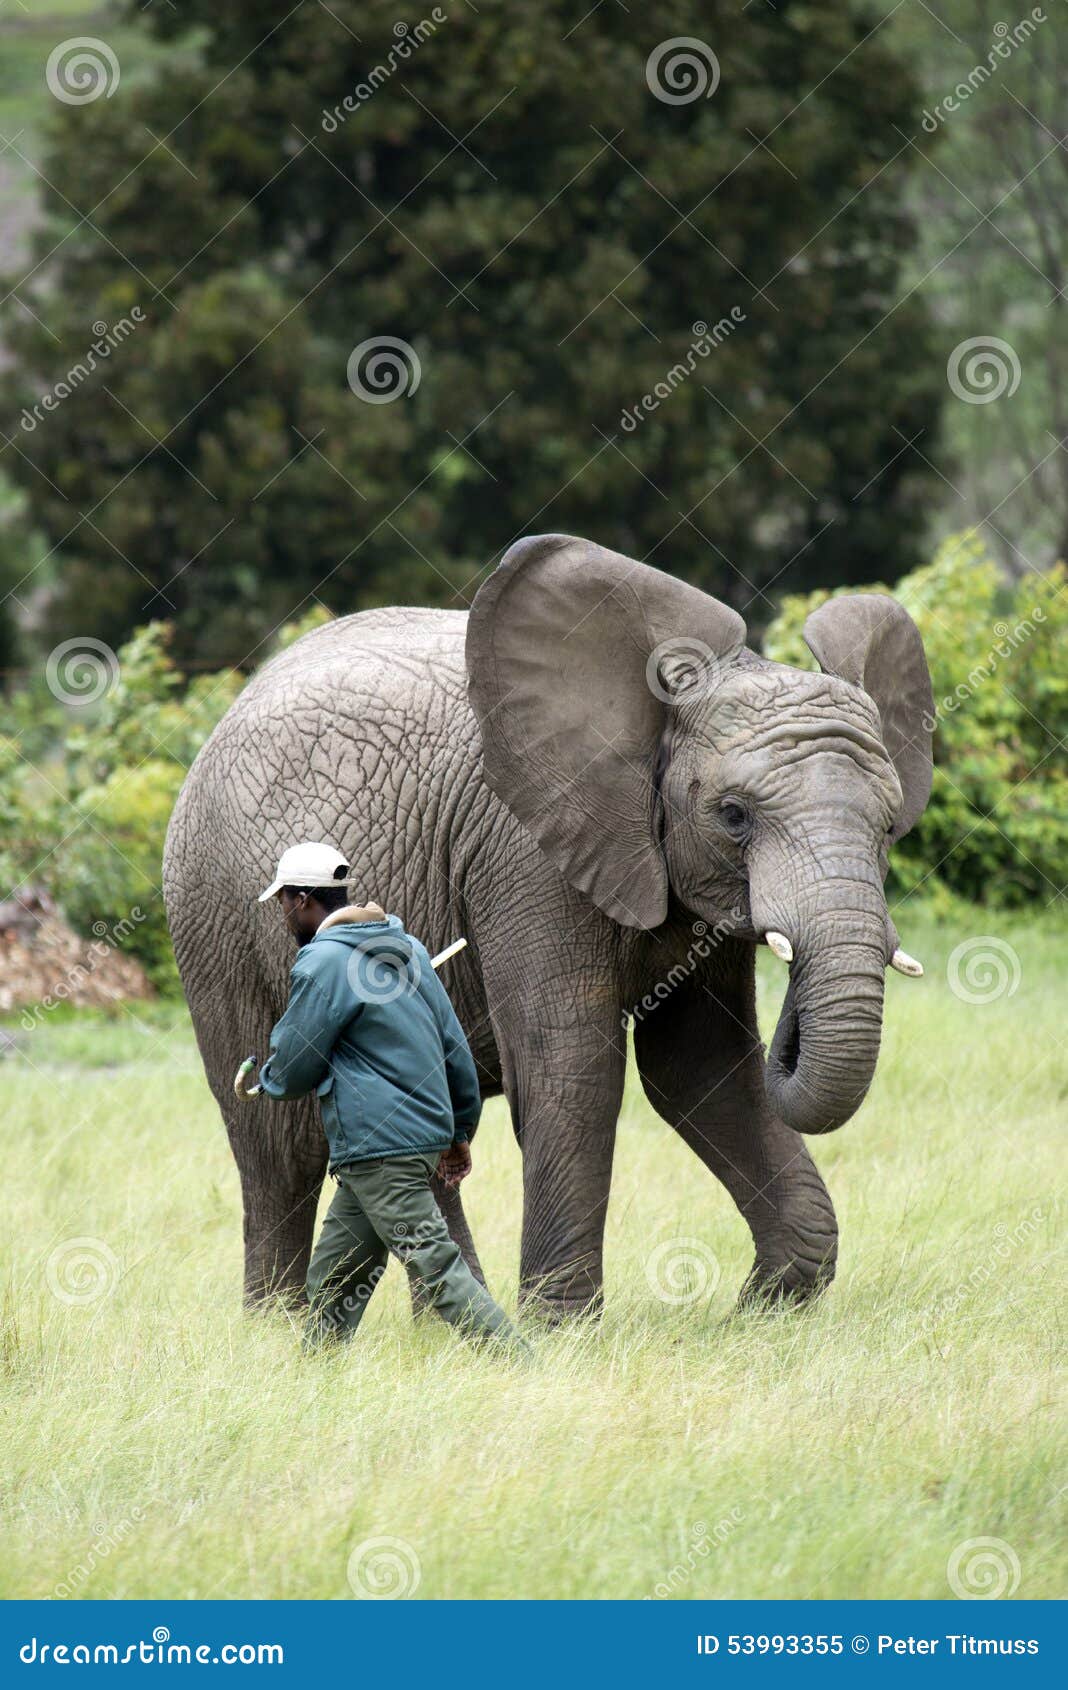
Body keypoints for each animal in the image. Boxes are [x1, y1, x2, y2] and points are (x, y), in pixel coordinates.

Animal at [163, 533, 933, 1320]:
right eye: (733, 816)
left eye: (889, 825)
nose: (794, 1016)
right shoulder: (524, 852)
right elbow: (575, 1065)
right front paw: (566, 1327)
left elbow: (701, 1066)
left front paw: (766, 1308)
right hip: (213, 906)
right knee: (277, 1142)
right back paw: (275, 1327)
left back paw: (437, 1332)